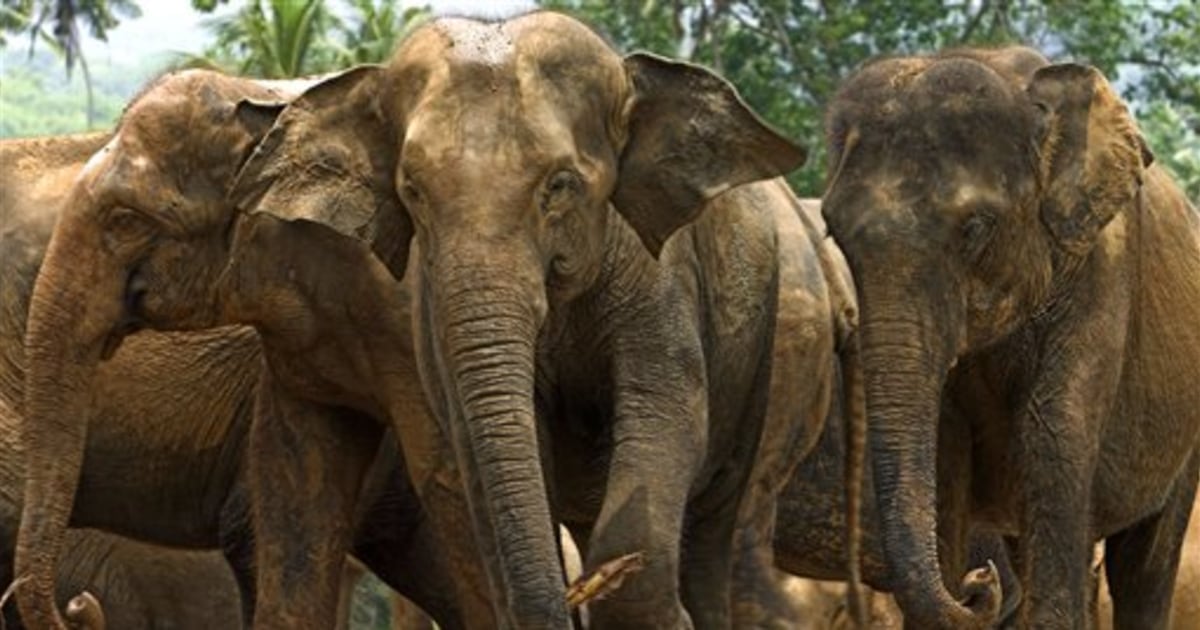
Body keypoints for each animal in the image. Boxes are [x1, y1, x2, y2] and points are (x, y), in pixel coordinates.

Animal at [820, 44, 1200, 629]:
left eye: (975, 228)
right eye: (833, 230)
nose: (979, 583)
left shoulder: (1102, 270)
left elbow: (1052, 436)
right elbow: (946, 454)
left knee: (1146, 564)